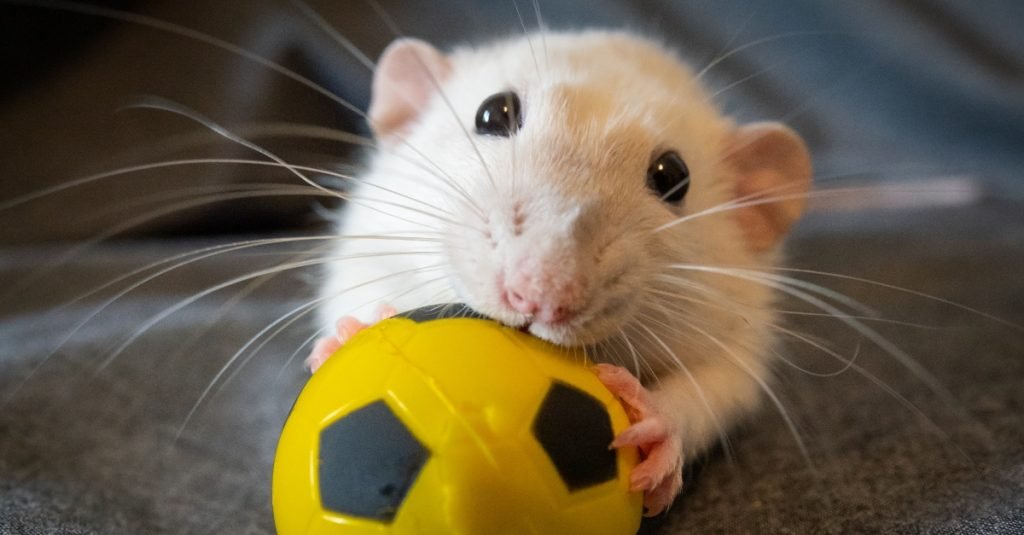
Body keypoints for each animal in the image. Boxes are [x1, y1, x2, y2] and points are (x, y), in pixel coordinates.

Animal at [310, 30, 812, 516]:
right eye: (493, 113)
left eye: (673, 176)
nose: (540, 294)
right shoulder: (375, 230)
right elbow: (355, 284)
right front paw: (354, 333)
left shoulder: (735, 310)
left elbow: (724, 384)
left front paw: (659, 423)